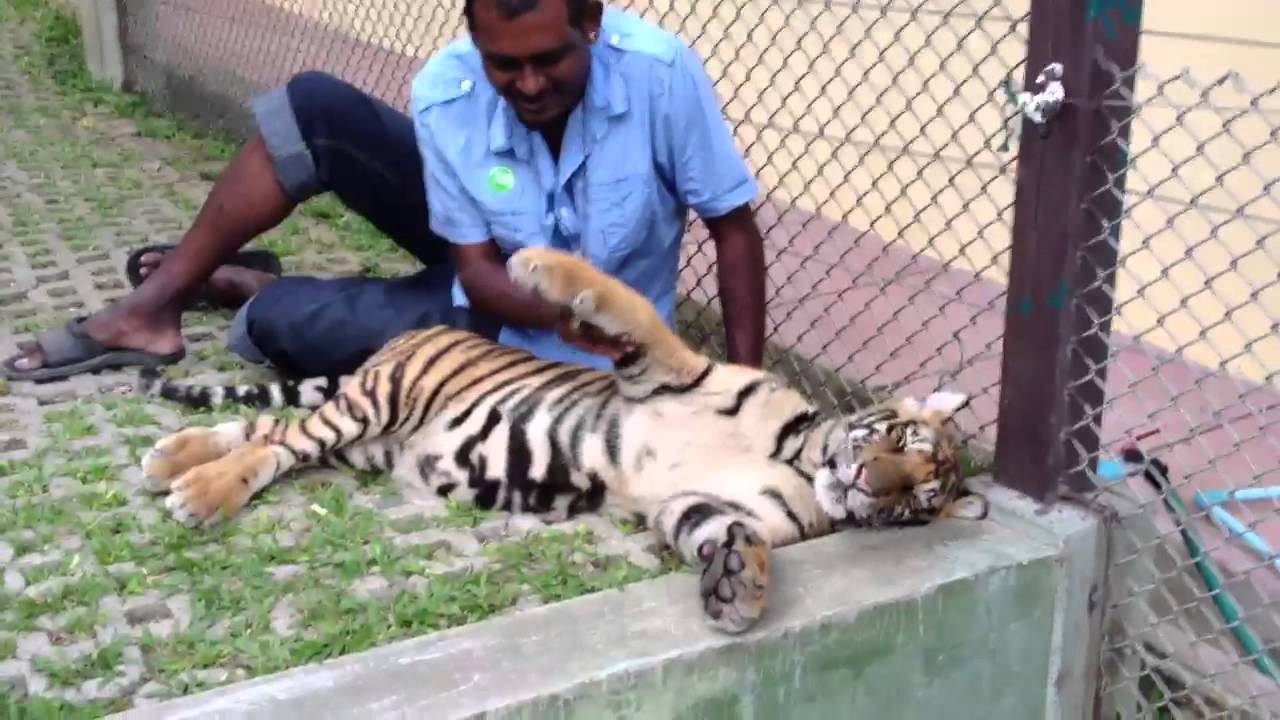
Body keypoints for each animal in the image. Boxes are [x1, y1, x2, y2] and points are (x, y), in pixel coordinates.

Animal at [135, 246, 988, 634]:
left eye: (918, 496)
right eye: (898, 439)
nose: (870, 483)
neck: (801, 459)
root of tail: (399, 343)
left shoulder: (695, 503)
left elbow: (729, 531)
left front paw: (739, 584)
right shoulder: (670, 371)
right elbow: (624, 304)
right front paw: (542, 266)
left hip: (366, 438)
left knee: (269, 429)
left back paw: (174, 462)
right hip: (375, 404)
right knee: (277, 441)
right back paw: (196, 491)